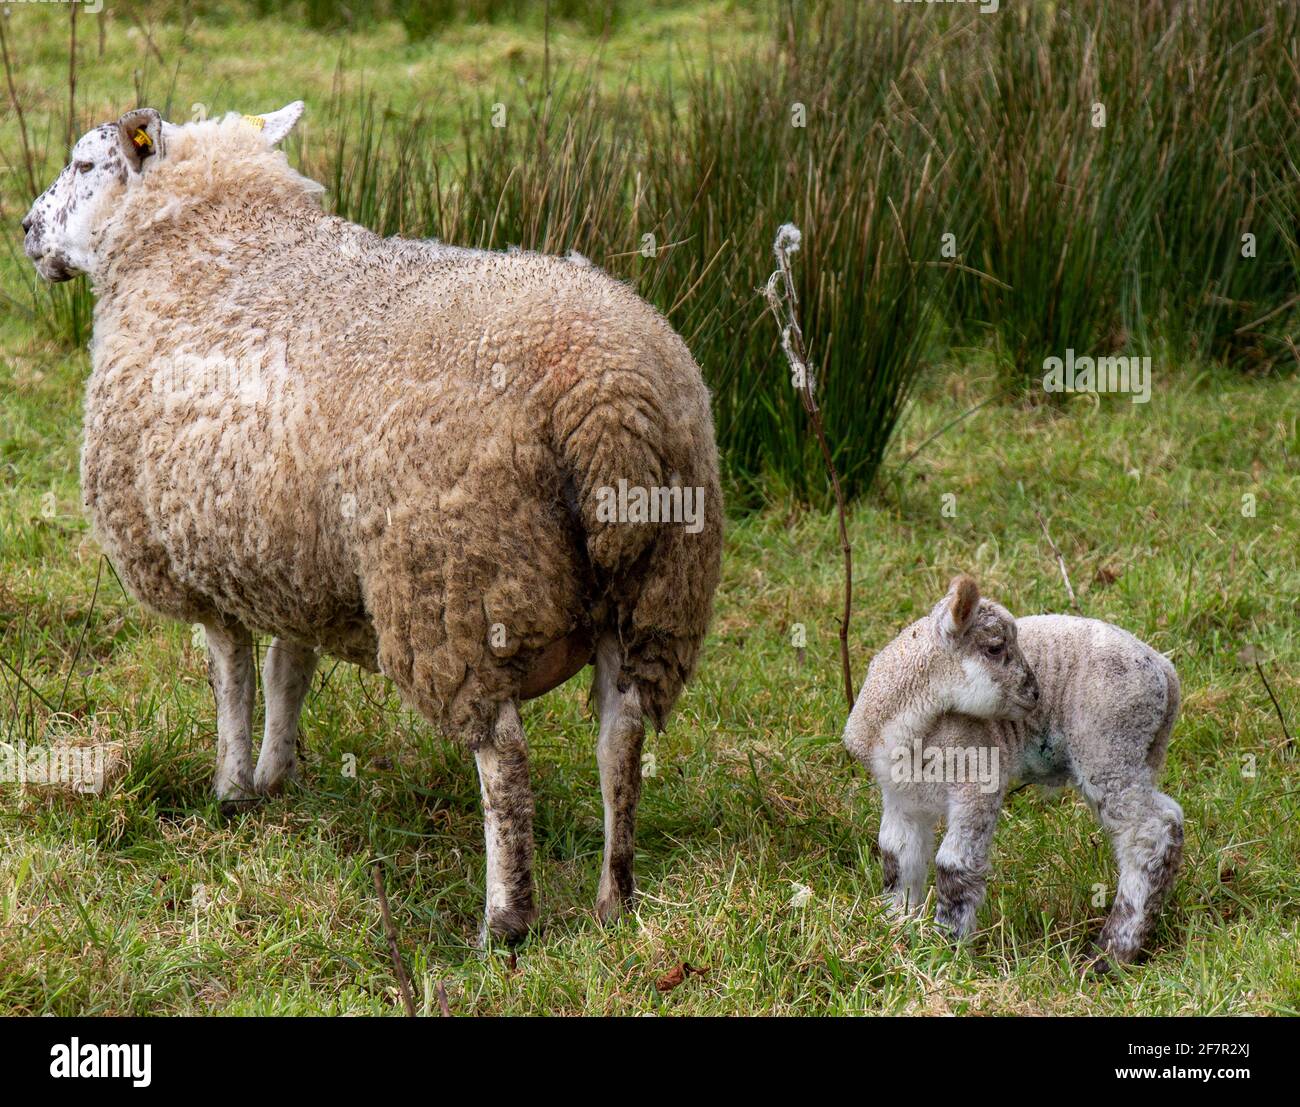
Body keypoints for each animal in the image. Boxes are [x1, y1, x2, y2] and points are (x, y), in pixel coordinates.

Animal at [21, 103, 723, 942]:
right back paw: (615, 897)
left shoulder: (205, 559)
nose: (25, 230)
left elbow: (232, 678)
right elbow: (287, 668)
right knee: (621, 735)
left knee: (503, 757)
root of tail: (604, 392)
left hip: (456, 588)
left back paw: (503, 921)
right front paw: (277, 775)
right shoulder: (288, 553)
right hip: (659, 590)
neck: (206, 243)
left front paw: (231, 789)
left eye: (83, 163)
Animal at [843, 575, 1183, 967]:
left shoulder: (977, 776)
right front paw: (894, 931)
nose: (1034, 693)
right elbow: (896, 859)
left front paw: (947, 948)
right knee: (1167, 817)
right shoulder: (901, 795)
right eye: (995, 648)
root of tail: (1165, 672)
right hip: (1140, 752)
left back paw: (1110, 953)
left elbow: (954, 866)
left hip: (1108, 742)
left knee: (1148, 832)